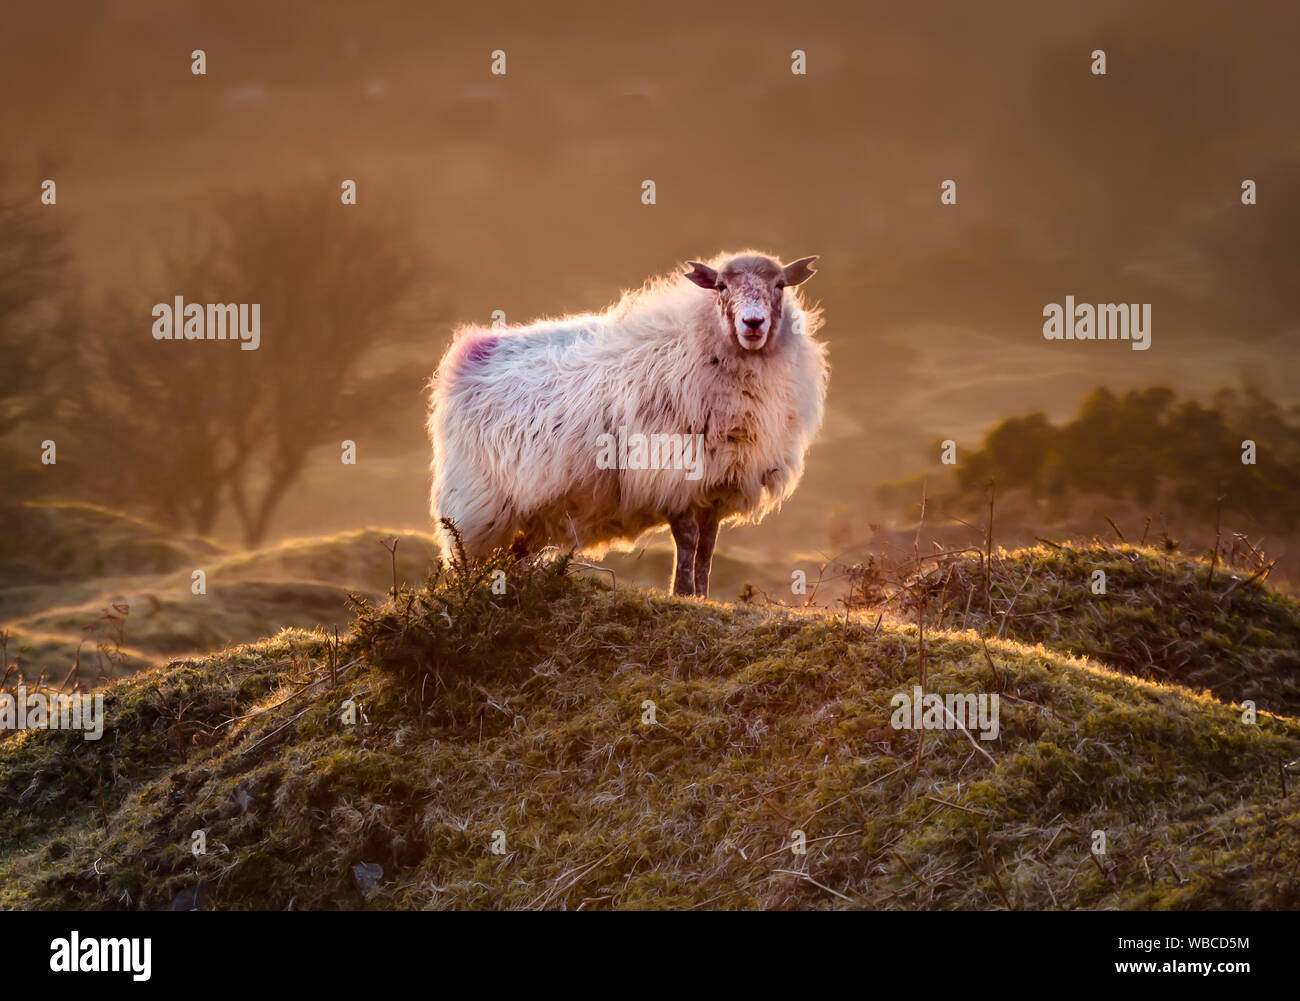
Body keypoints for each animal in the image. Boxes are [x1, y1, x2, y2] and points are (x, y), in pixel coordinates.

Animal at [426, 250, 828, 597]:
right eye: (721, 286)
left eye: (780, 285)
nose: (753, 323)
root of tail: (473, 350)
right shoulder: (671, 473)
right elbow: (686, 540)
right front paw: (682, 593)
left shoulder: (718, 483)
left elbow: (707, 547)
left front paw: (702, 594)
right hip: (478, 504)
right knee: (470, 557)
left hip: (533, 513)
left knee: (519, 553)